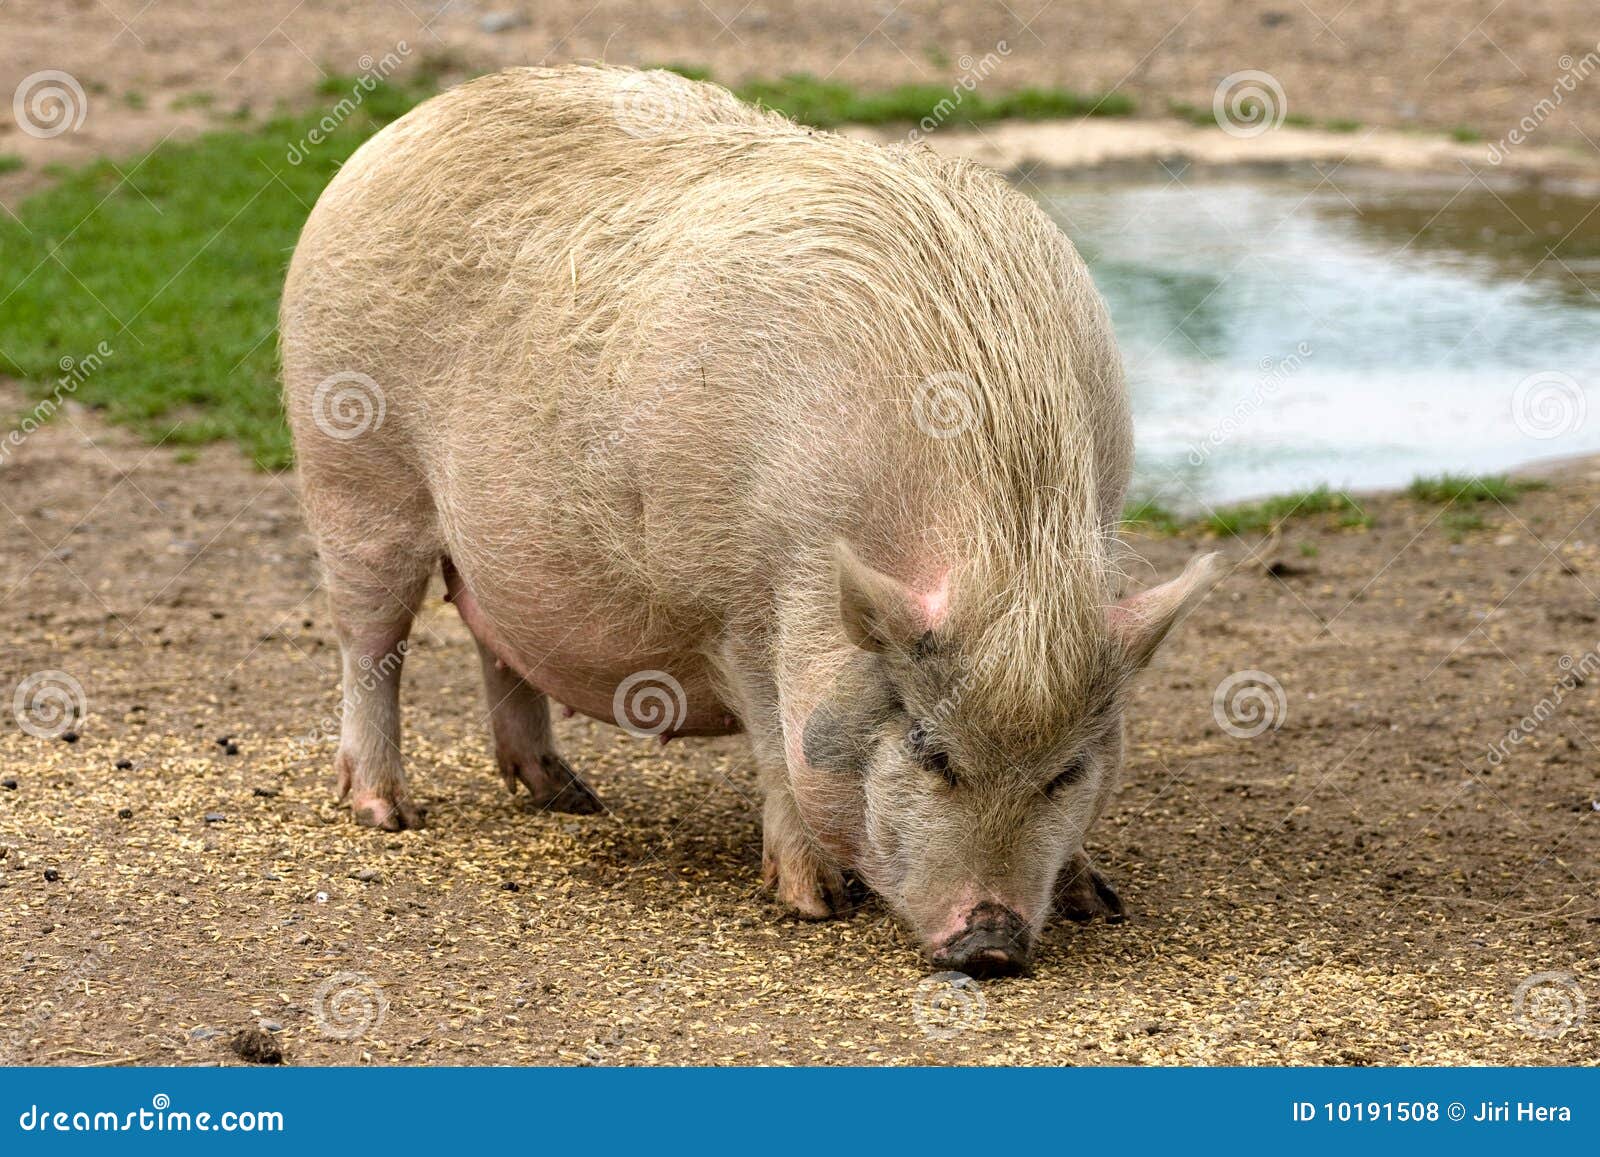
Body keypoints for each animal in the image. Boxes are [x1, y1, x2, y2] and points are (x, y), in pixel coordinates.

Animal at [279, 65, 1220, 977]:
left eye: (1068, 770)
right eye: (930, 751)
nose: (989, 944)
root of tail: (394, 135)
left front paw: (1099, 900)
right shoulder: (730, 601)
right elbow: (776, 742)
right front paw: (814, 901)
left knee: (493, 637)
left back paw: (569, 796)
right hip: (352, 473)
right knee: (370, 641)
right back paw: (387, 812)